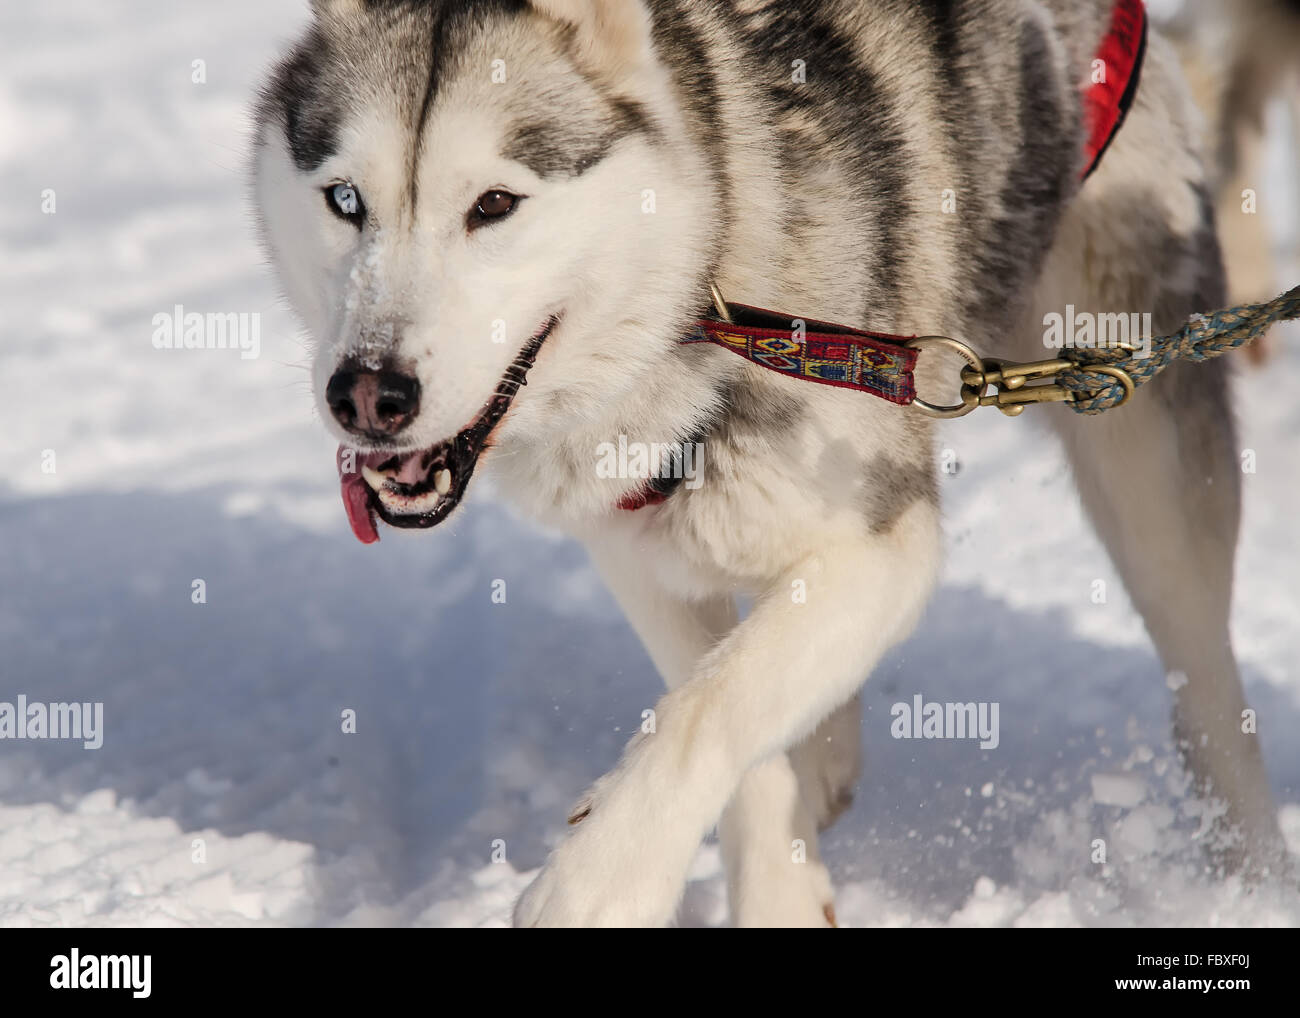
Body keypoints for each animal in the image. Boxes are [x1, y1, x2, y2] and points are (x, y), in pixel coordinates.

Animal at [248, 0, 1284, 925]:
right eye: (346, 201)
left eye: (494, 204)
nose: (367, 394)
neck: (702, 297)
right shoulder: (638, 550)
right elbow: (721, 711)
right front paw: (780, 877)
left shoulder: (887, 545)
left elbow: (710, 710)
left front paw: (598, 882)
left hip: (1139, 440)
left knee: (1206, 685)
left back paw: (1247, 874)